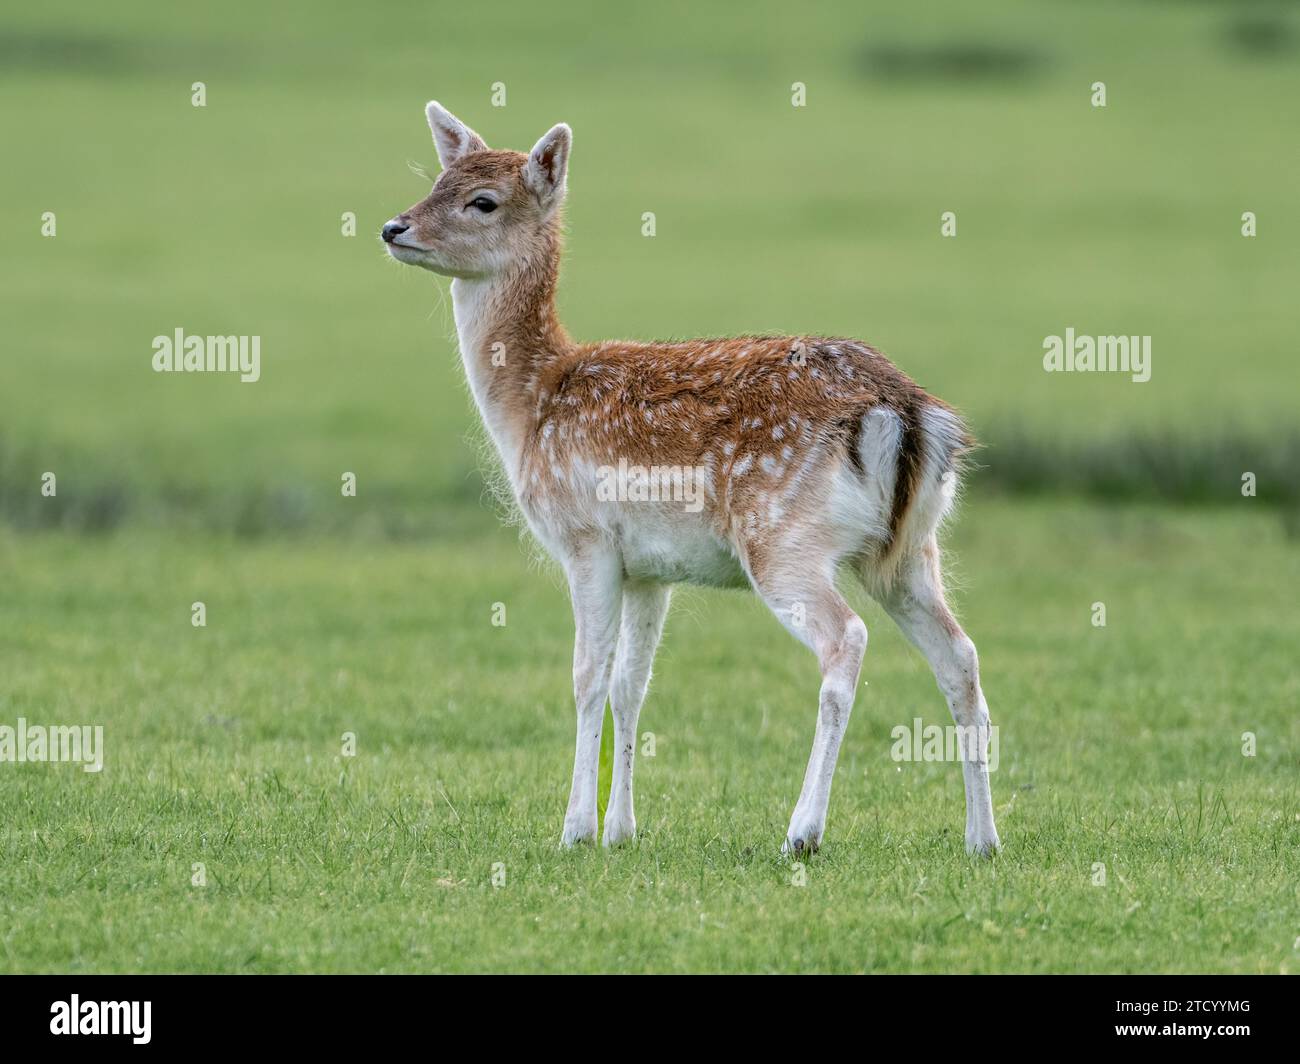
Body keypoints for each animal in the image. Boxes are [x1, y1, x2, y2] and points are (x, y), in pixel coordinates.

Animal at [382, 102, 1000, 857]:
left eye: (482, 200)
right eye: (437, 180)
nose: (394, 228)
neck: (532, 407)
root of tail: (906, 411)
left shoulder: (585, 539)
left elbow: (586, 677)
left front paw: (574, 830)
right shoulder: (651, 569)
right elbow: (631, 685)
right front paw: (621, 830)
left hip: (782, 537)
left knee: (846, 640)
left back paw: (803, 830)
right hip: (911, 549)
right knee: (960, 656)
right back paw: (982, 838)